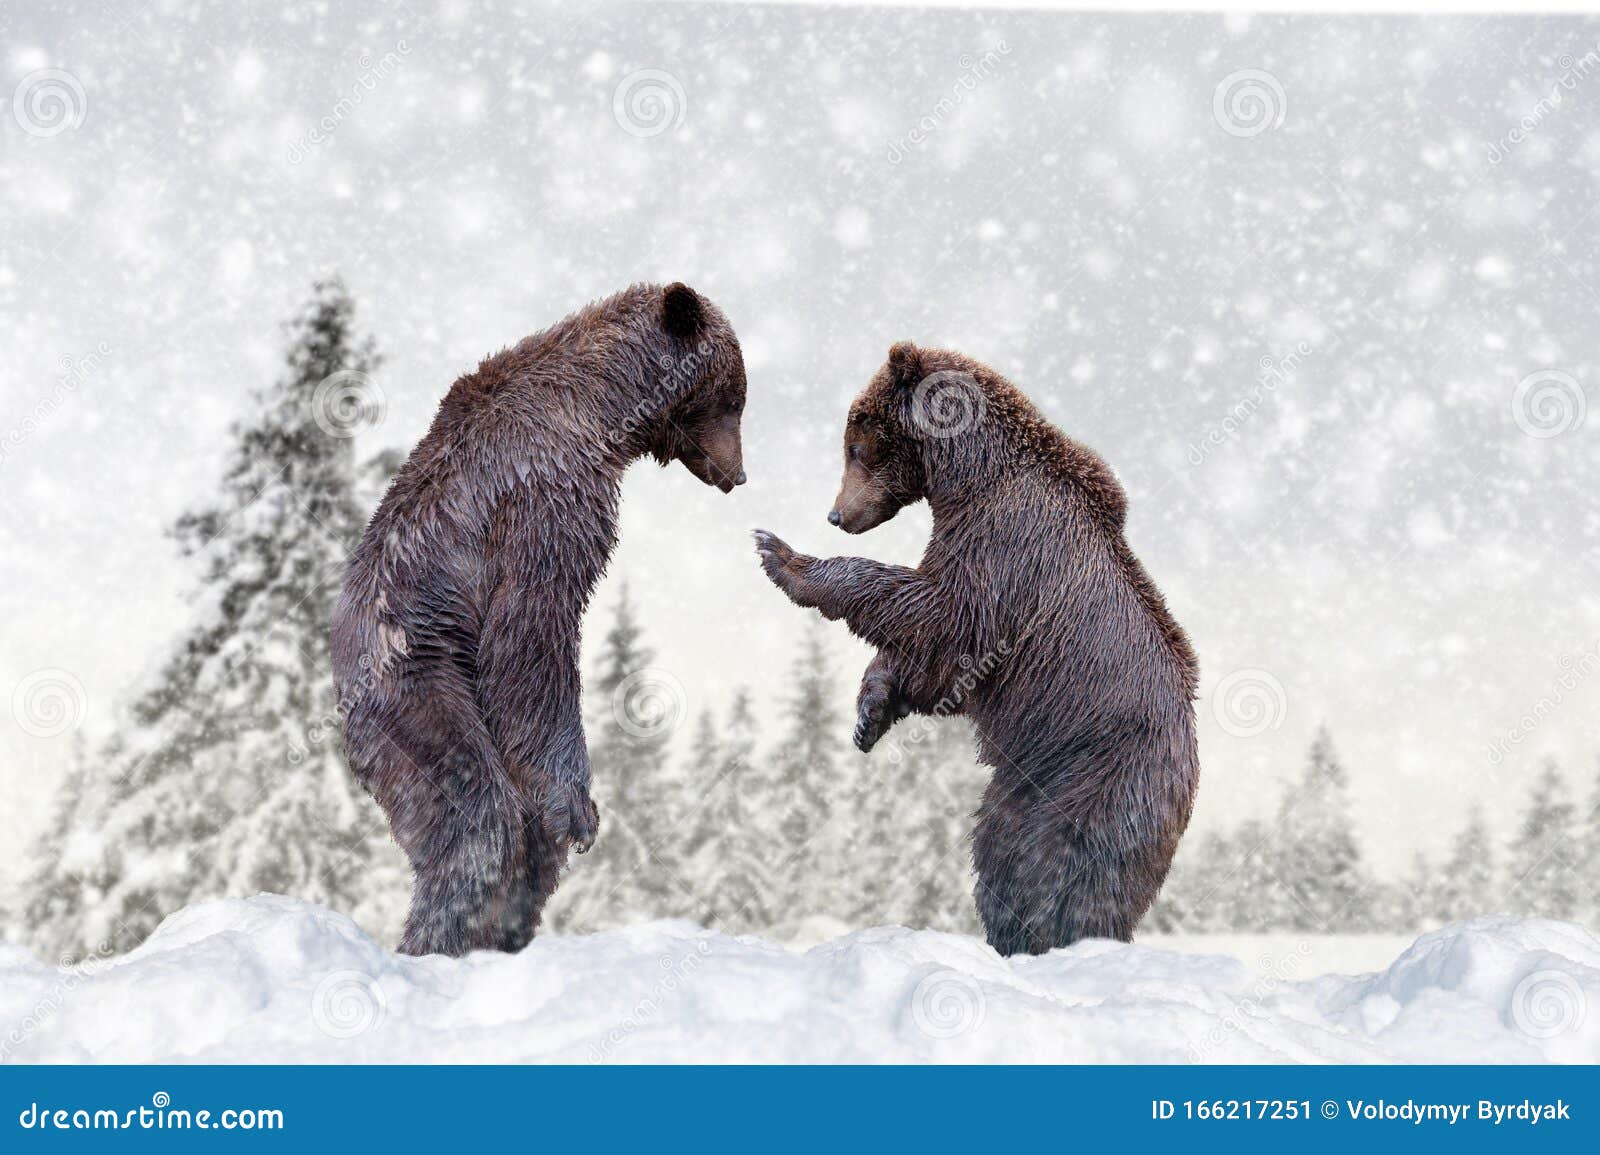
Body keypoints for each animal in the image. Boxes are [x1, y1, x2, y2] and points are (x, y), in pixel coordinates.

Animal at [332, 282, 748, 957]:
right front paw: (579, 808)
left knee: (521, 837)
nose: (736, 474)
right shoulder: (546, 500)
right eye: (733, 397)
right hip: (415, 682)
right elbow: (533, 639)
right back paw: (437, 935)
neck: (606, 412)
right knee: (475, 816)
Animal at [753, 340, 1198, 956]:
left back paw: (1053, 934)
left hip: (1098, 775)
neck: (967, 479)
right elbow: (938, 660)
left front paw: (782, 556)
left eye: (854, 446)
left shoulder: (1004, 550)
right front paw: (869, 714)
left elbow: (940, 614)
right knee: (1000, 847)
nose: (837, 515)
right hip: (1025, 781)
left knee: (1056, 863)